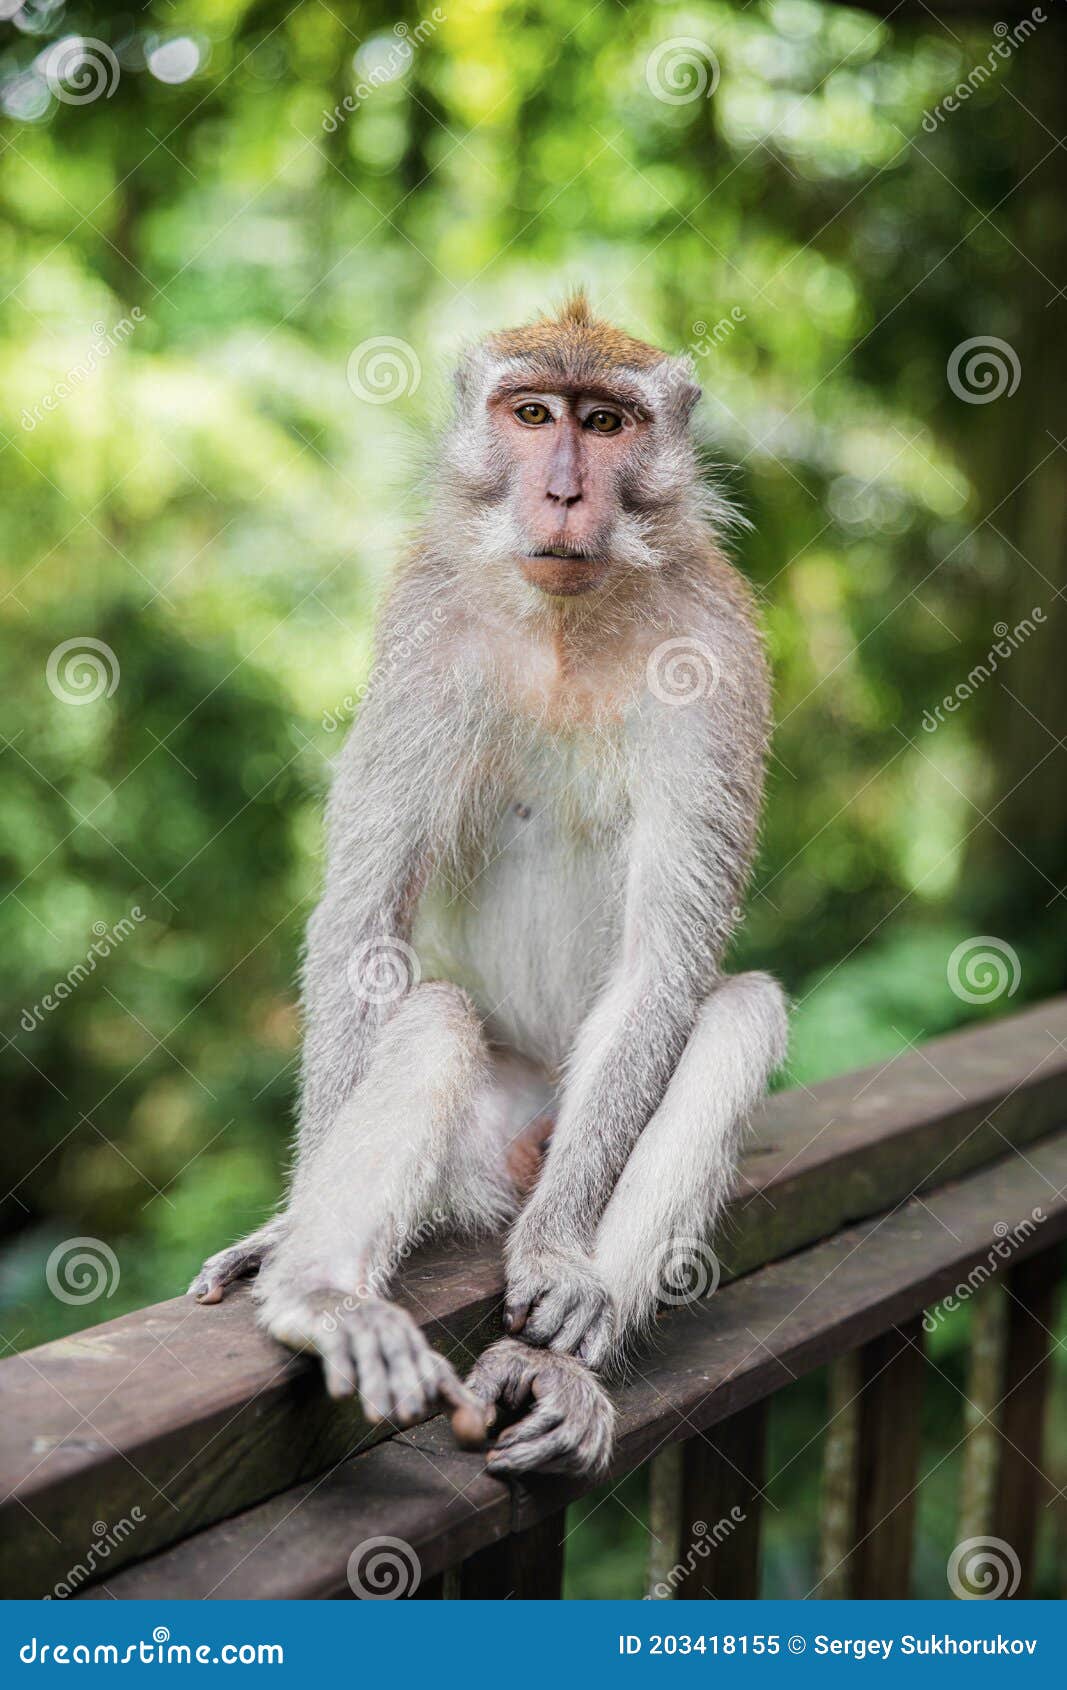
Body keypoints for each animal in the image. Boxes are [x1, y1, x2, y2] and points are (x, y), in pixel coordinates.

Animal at [189, 293, 787, 1476]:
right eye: (531, 414)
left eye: (604, 424)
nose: (560, 491)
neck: (564, 616)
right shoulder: (421, 631)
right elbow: (365, 923)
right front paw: (286, 1236)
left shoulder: (717, 650)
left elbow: (662, 964)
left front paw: (557, 1256)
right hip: (468, 1164)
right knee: (432, 1017)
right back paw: (321, 1295)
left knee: (738, 1013)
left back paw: (566, 1351)